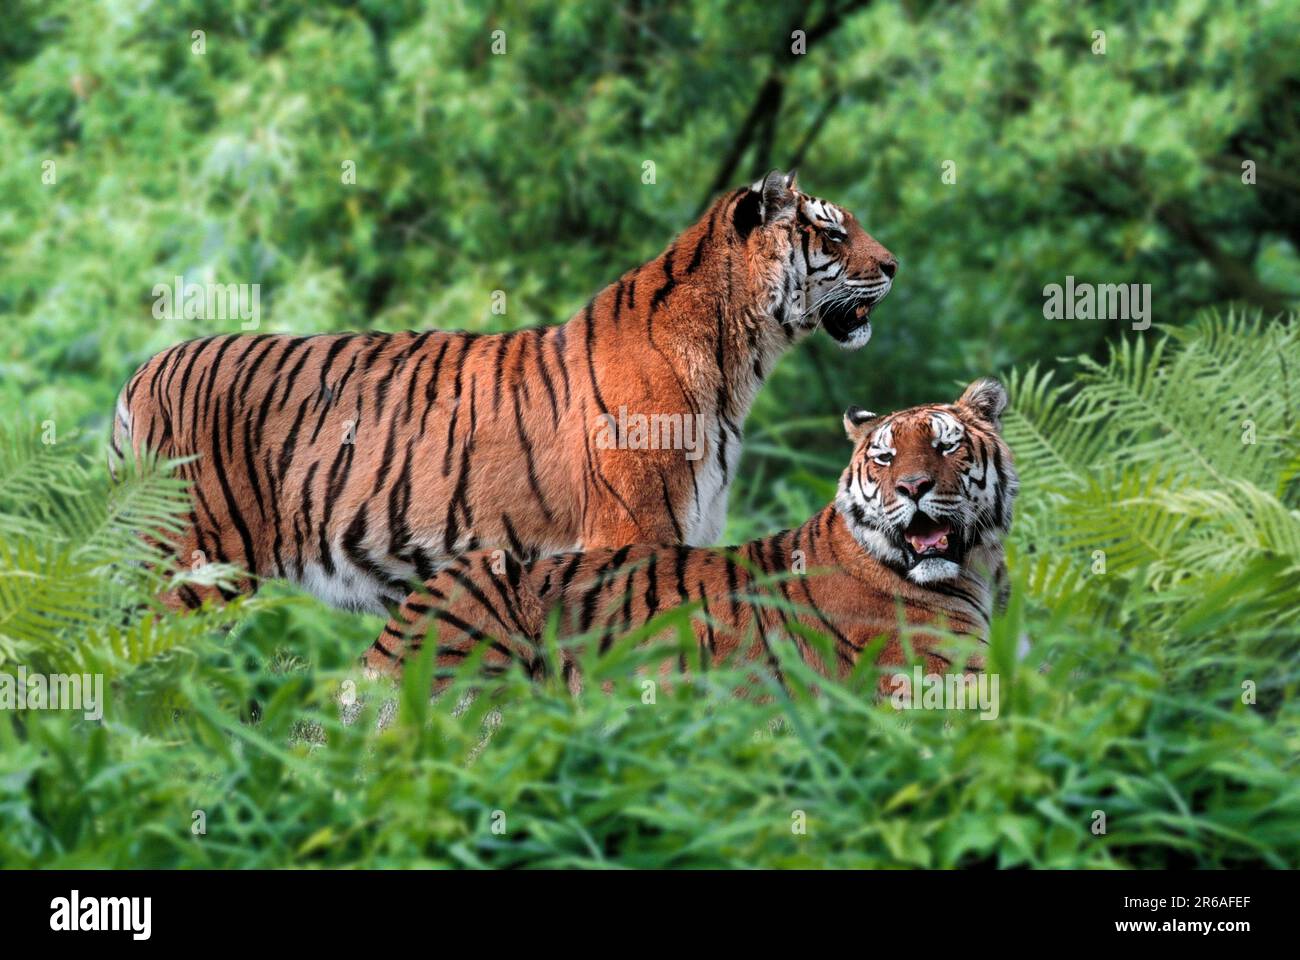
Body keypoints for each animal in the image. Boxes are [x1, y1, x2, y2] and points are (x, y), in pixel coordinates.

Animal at [110, 169, 896, 614]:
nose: (894, 264)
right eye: (832, 233)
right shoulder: (631, 536)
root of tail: (144, 371)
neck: (741, 359)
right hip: (184, 564)